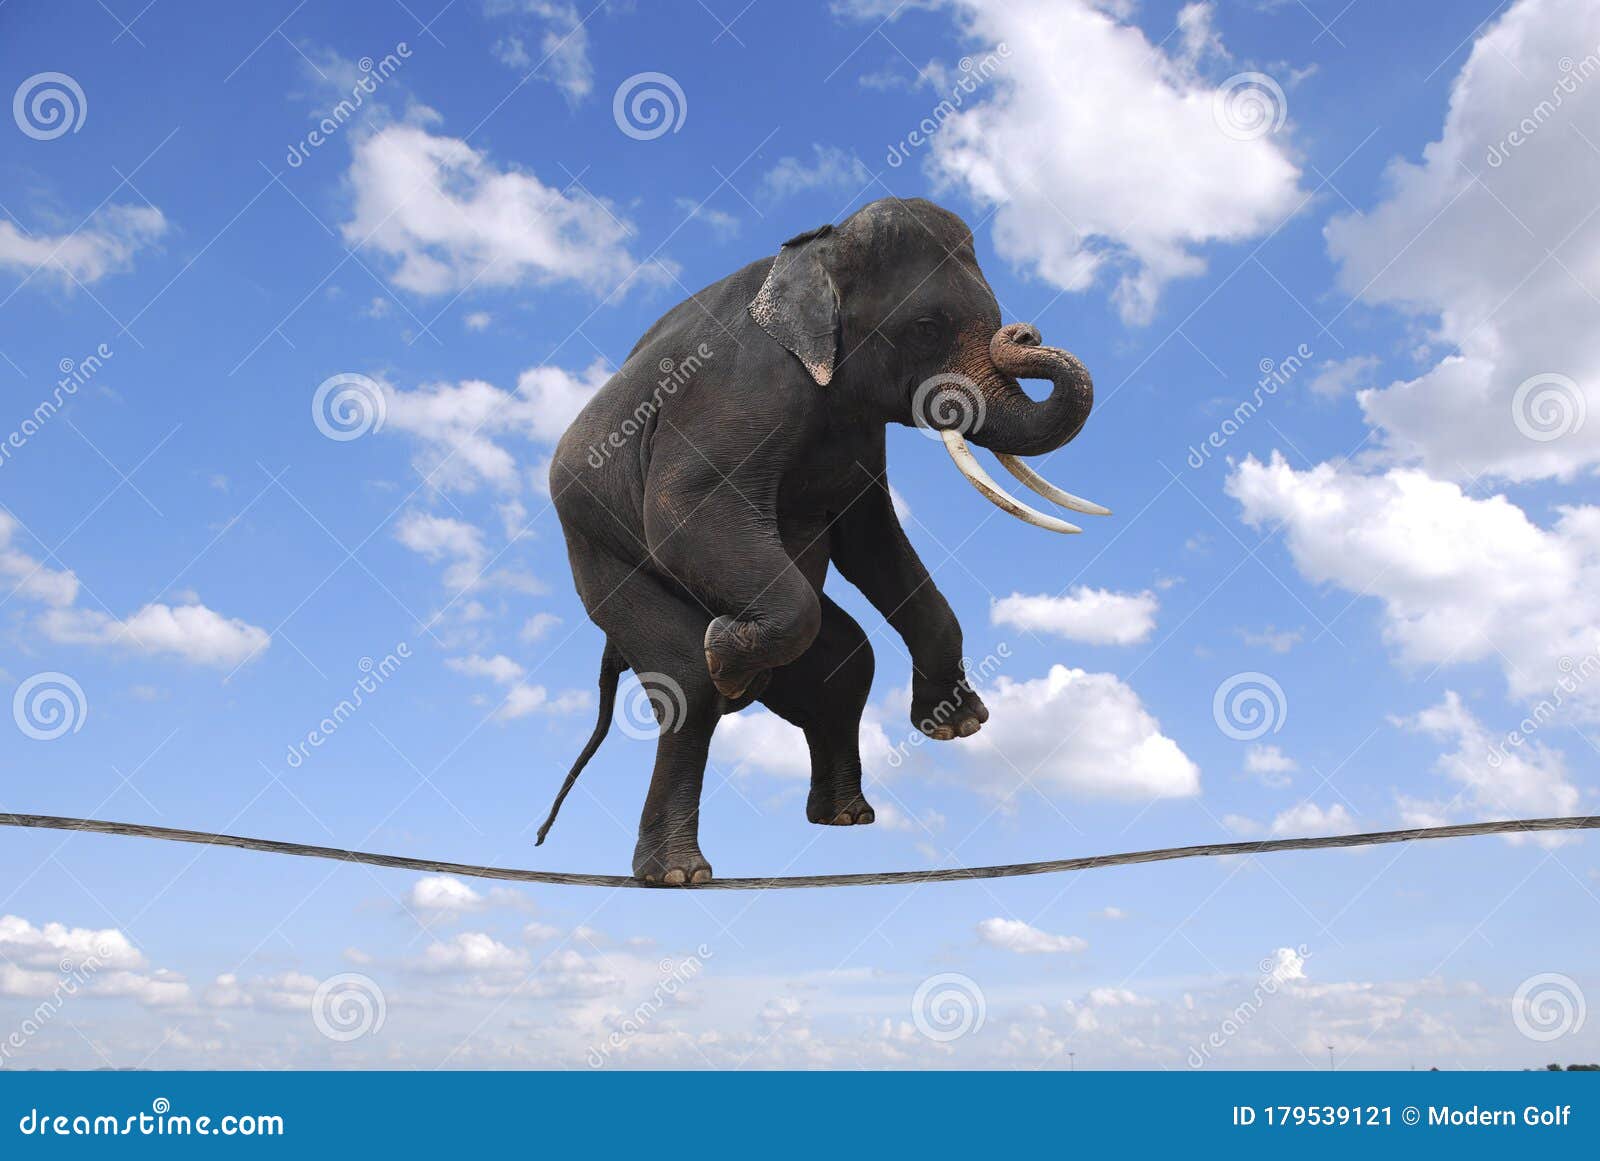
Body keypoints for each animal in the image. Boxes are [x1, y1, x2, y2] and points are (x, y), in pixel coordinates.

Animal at [538, 197, 1105, 884]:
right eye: (925, 327)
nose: (1025, 334)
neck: (816, 255)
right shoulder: (739, 390)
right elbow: (682, 514)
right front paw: (725, 656)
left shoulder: (857, 428)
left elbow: (870, 539)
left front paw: (959, 728)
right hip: (597, 552)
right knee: (685, 683)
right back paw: (679, 866)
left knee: (847, 659)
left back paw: (843, 816)